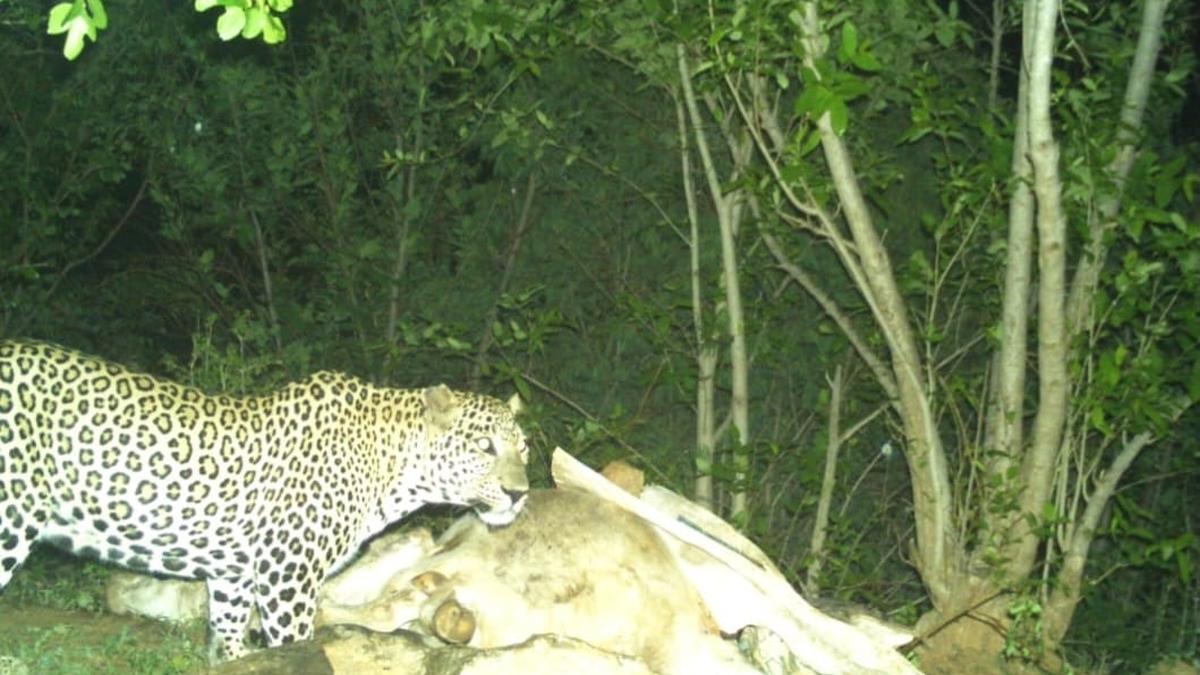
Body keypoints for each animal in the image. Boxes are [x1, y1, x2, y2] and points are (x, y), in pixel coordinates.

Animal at [0, 339, 529, 662]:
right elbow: (297, 645)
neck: (392, 467)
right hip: (11, 519)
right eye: (485, 447)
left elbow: (228, 638)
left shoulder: (234, 575)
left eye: (523, 448)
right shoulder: (287, 575)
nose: (520, 493)